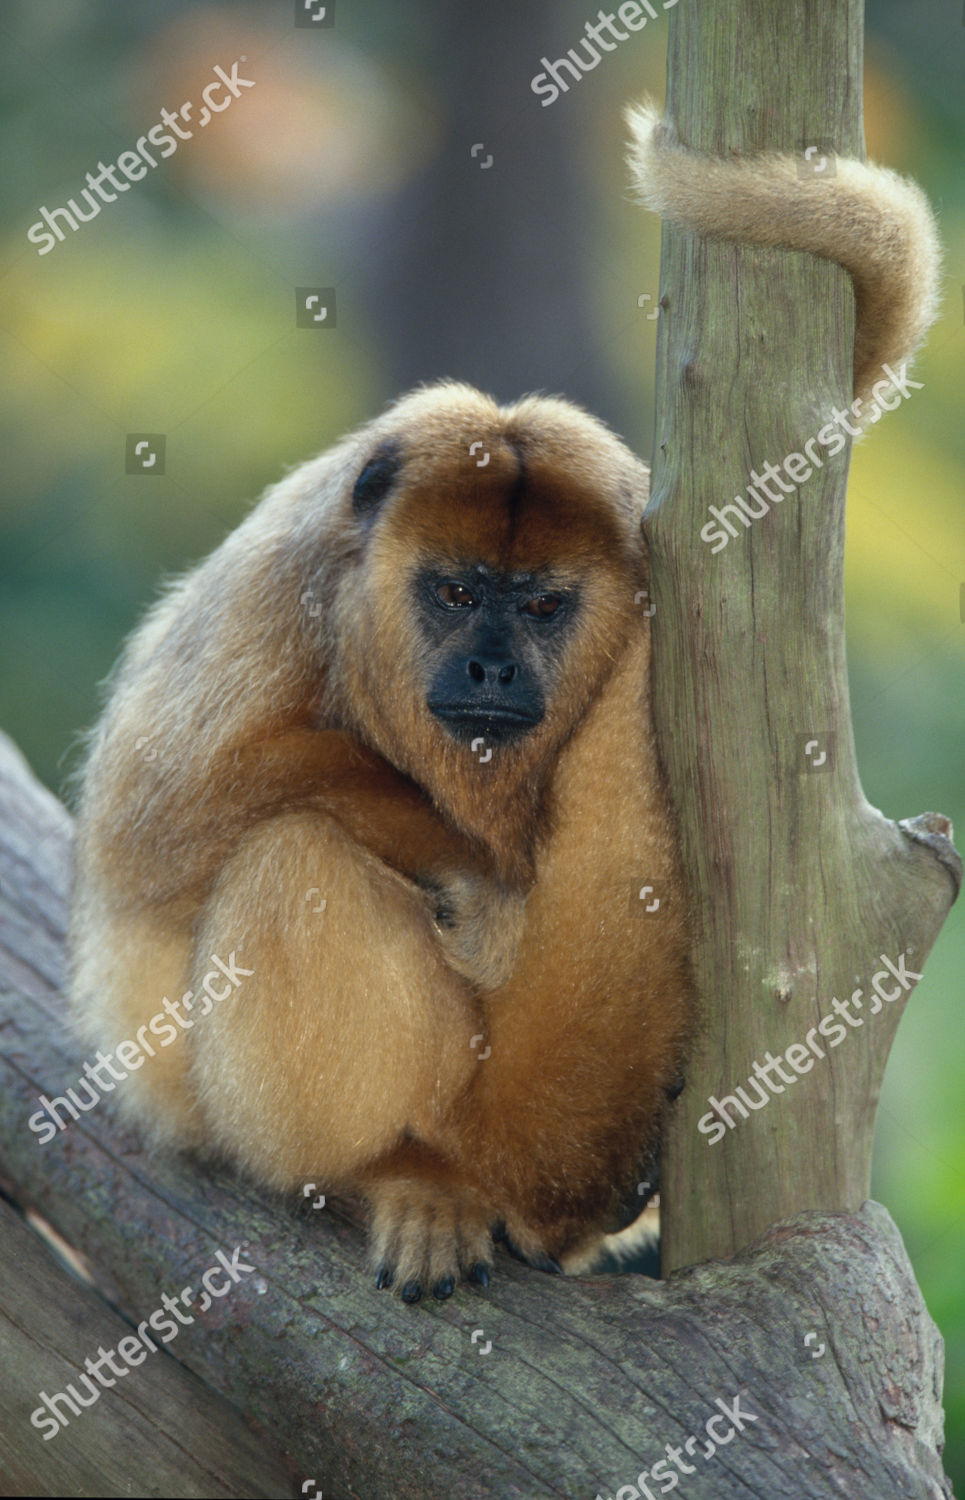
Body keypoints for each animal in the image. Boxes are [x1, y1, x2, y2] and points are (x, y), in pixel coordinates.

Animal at [68, 102, 939, 1302]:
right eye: (452, 593)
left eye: (537, 605)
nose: (488, 669)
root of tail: (504, 1167)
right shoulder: (281, 583)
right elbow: (155, 820)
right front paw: (479, 879)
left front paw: (488, 885)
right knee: (292, 850)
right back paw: (383, 1172)